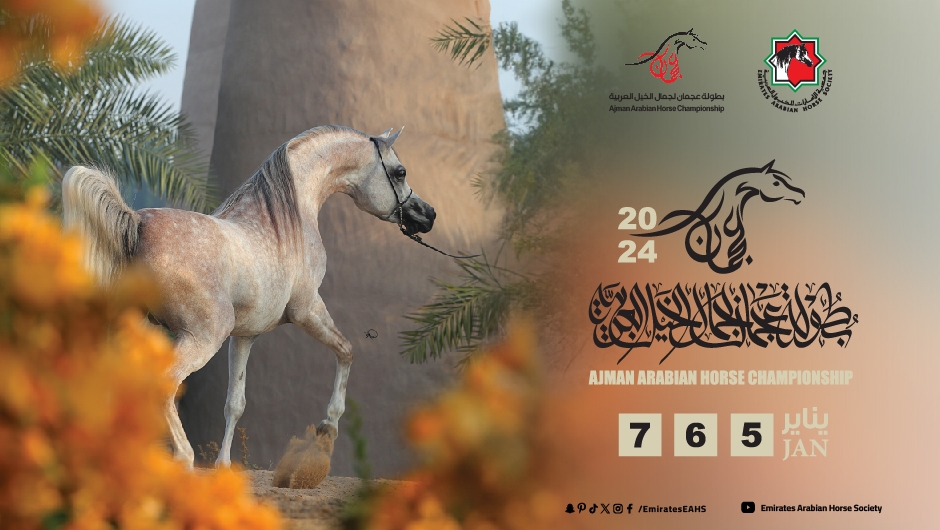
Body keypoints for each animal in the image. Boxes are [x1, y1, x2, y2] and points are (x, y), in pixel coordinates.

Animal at [61, 125, 436, 468]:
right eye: (400, 171)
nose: (428, 215)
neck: (286, 221)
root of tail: (135, 223)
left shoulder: (245, 336)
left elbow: (235, 403)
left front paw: (225, 466)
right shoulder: (308, 310)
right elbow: (346, 351)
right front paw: (328, 429)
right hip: (201, 336)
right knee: (162, 384)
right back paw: (183, 458)